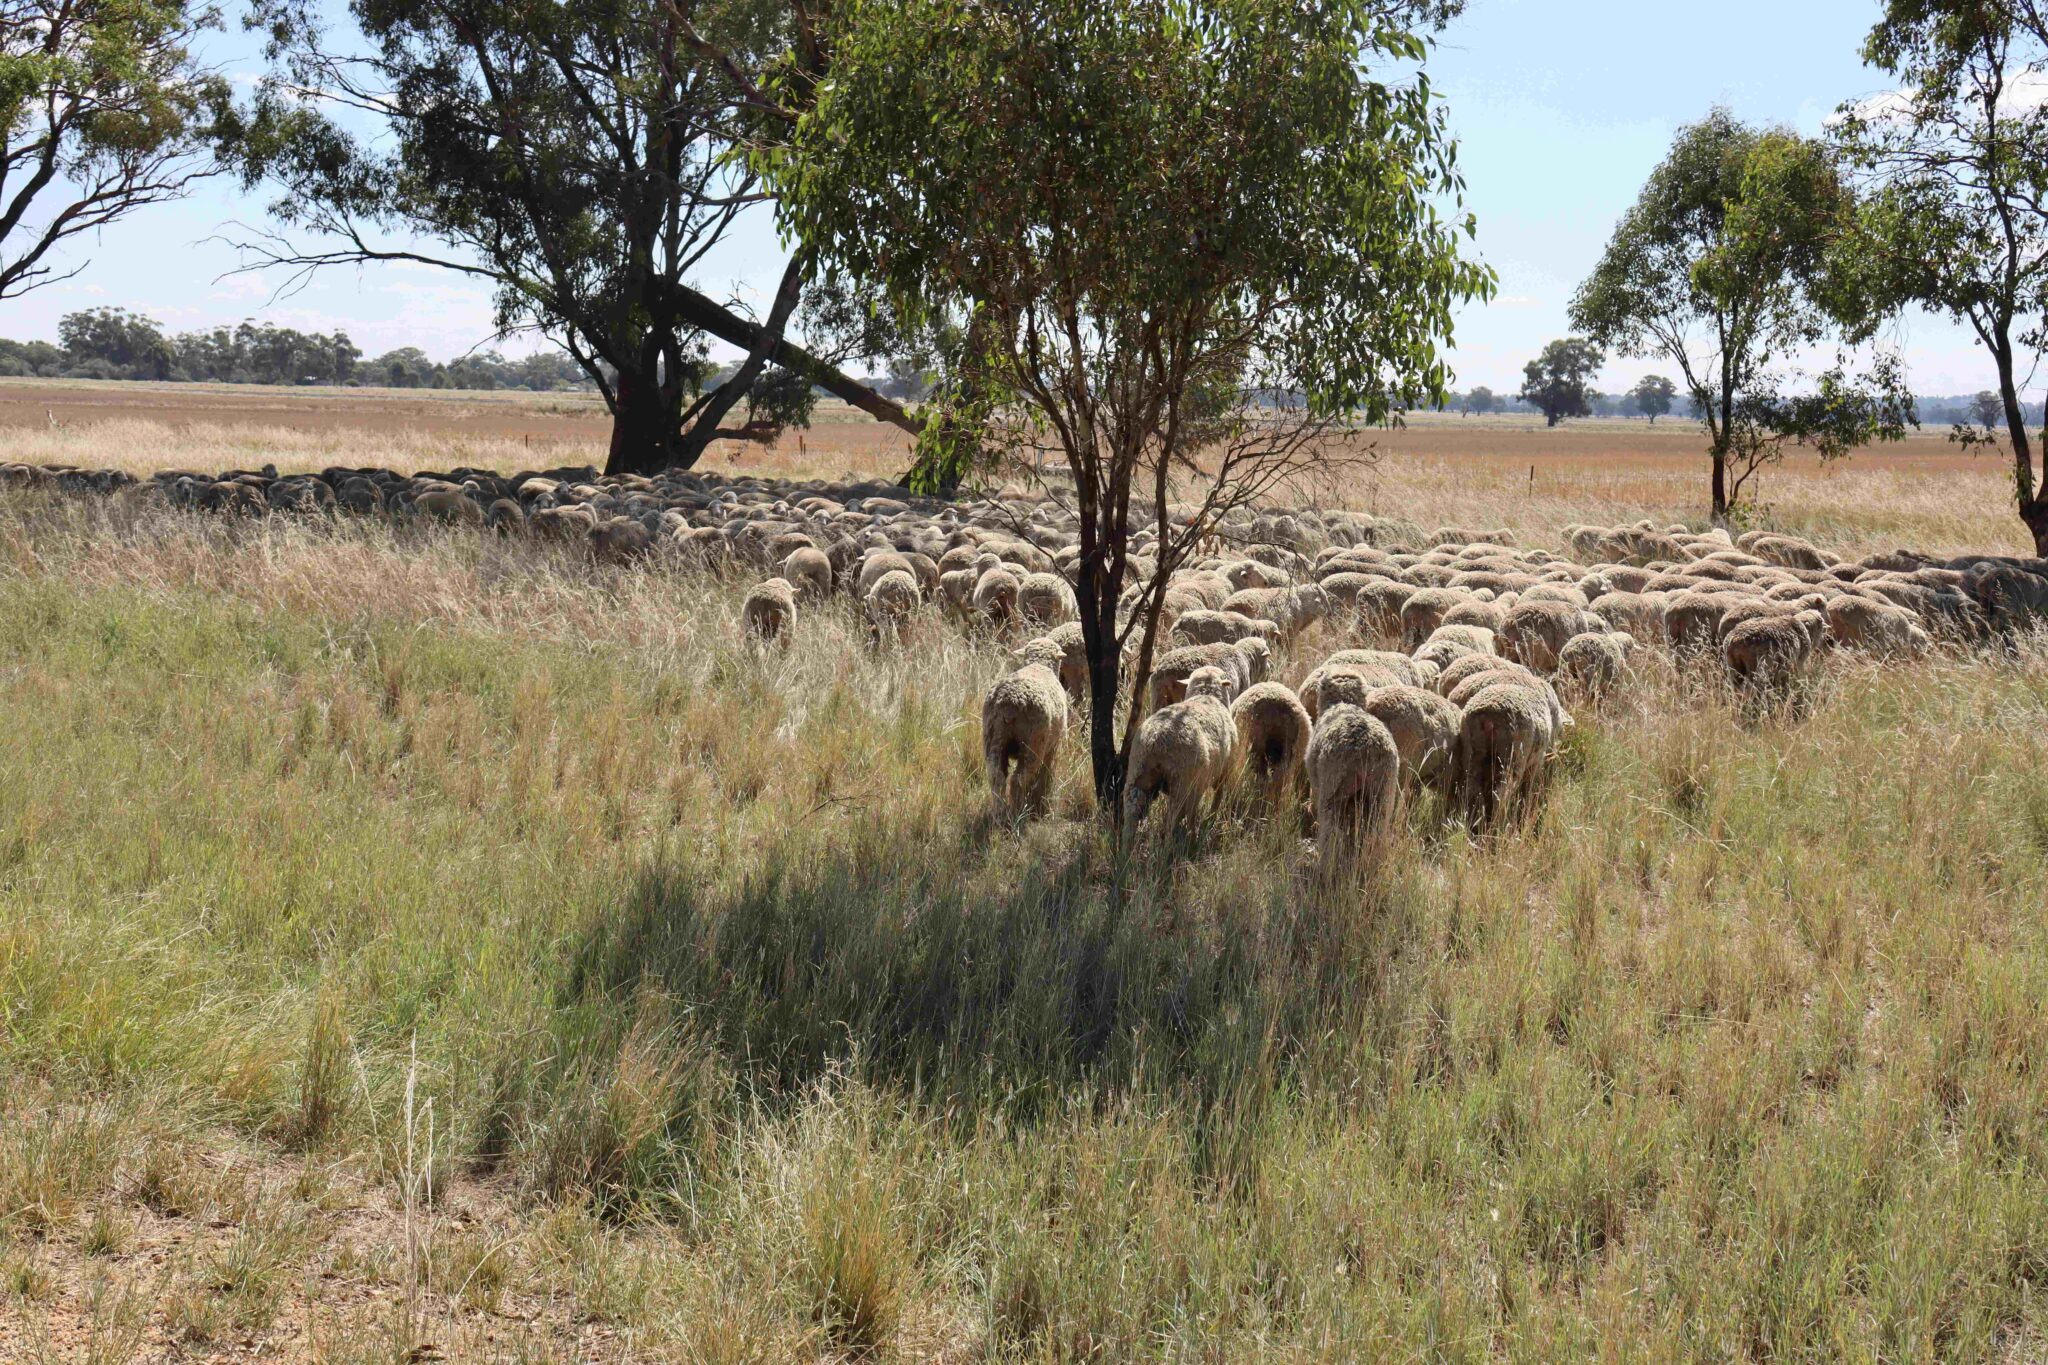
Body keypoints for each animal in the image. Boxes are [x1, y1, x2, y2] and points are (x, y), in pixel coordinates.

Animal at [982, 662, 1071, 821]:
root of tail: (1010, 702)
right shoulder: (1054, 748)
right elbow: (1047, 776)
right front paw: (1044, 805)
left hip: (993, 738)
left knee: (996, 775)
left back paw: (1000, 814)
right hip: (1033, 744)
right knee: (1017, 780)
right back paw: (1017, 813)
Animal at [1124, 666, 1239, 836]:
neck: (1206, 696)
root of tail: (1156, 740)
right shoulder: (1223, 772)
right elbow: (1216, 798)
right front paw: (1207, 822)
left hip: (1137, 772)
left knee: (1132, 810)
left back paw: (1126, 841)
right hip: (1182, 782)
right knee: (1174, 817)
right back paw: (1174, 840)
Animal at [1306, 704, 1402, 865]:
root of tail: (1366, 748)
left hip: (1333, 790)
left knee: (1331, 833)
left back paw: (1328, 865)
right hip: (1383, 792)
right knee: (1376, 833)